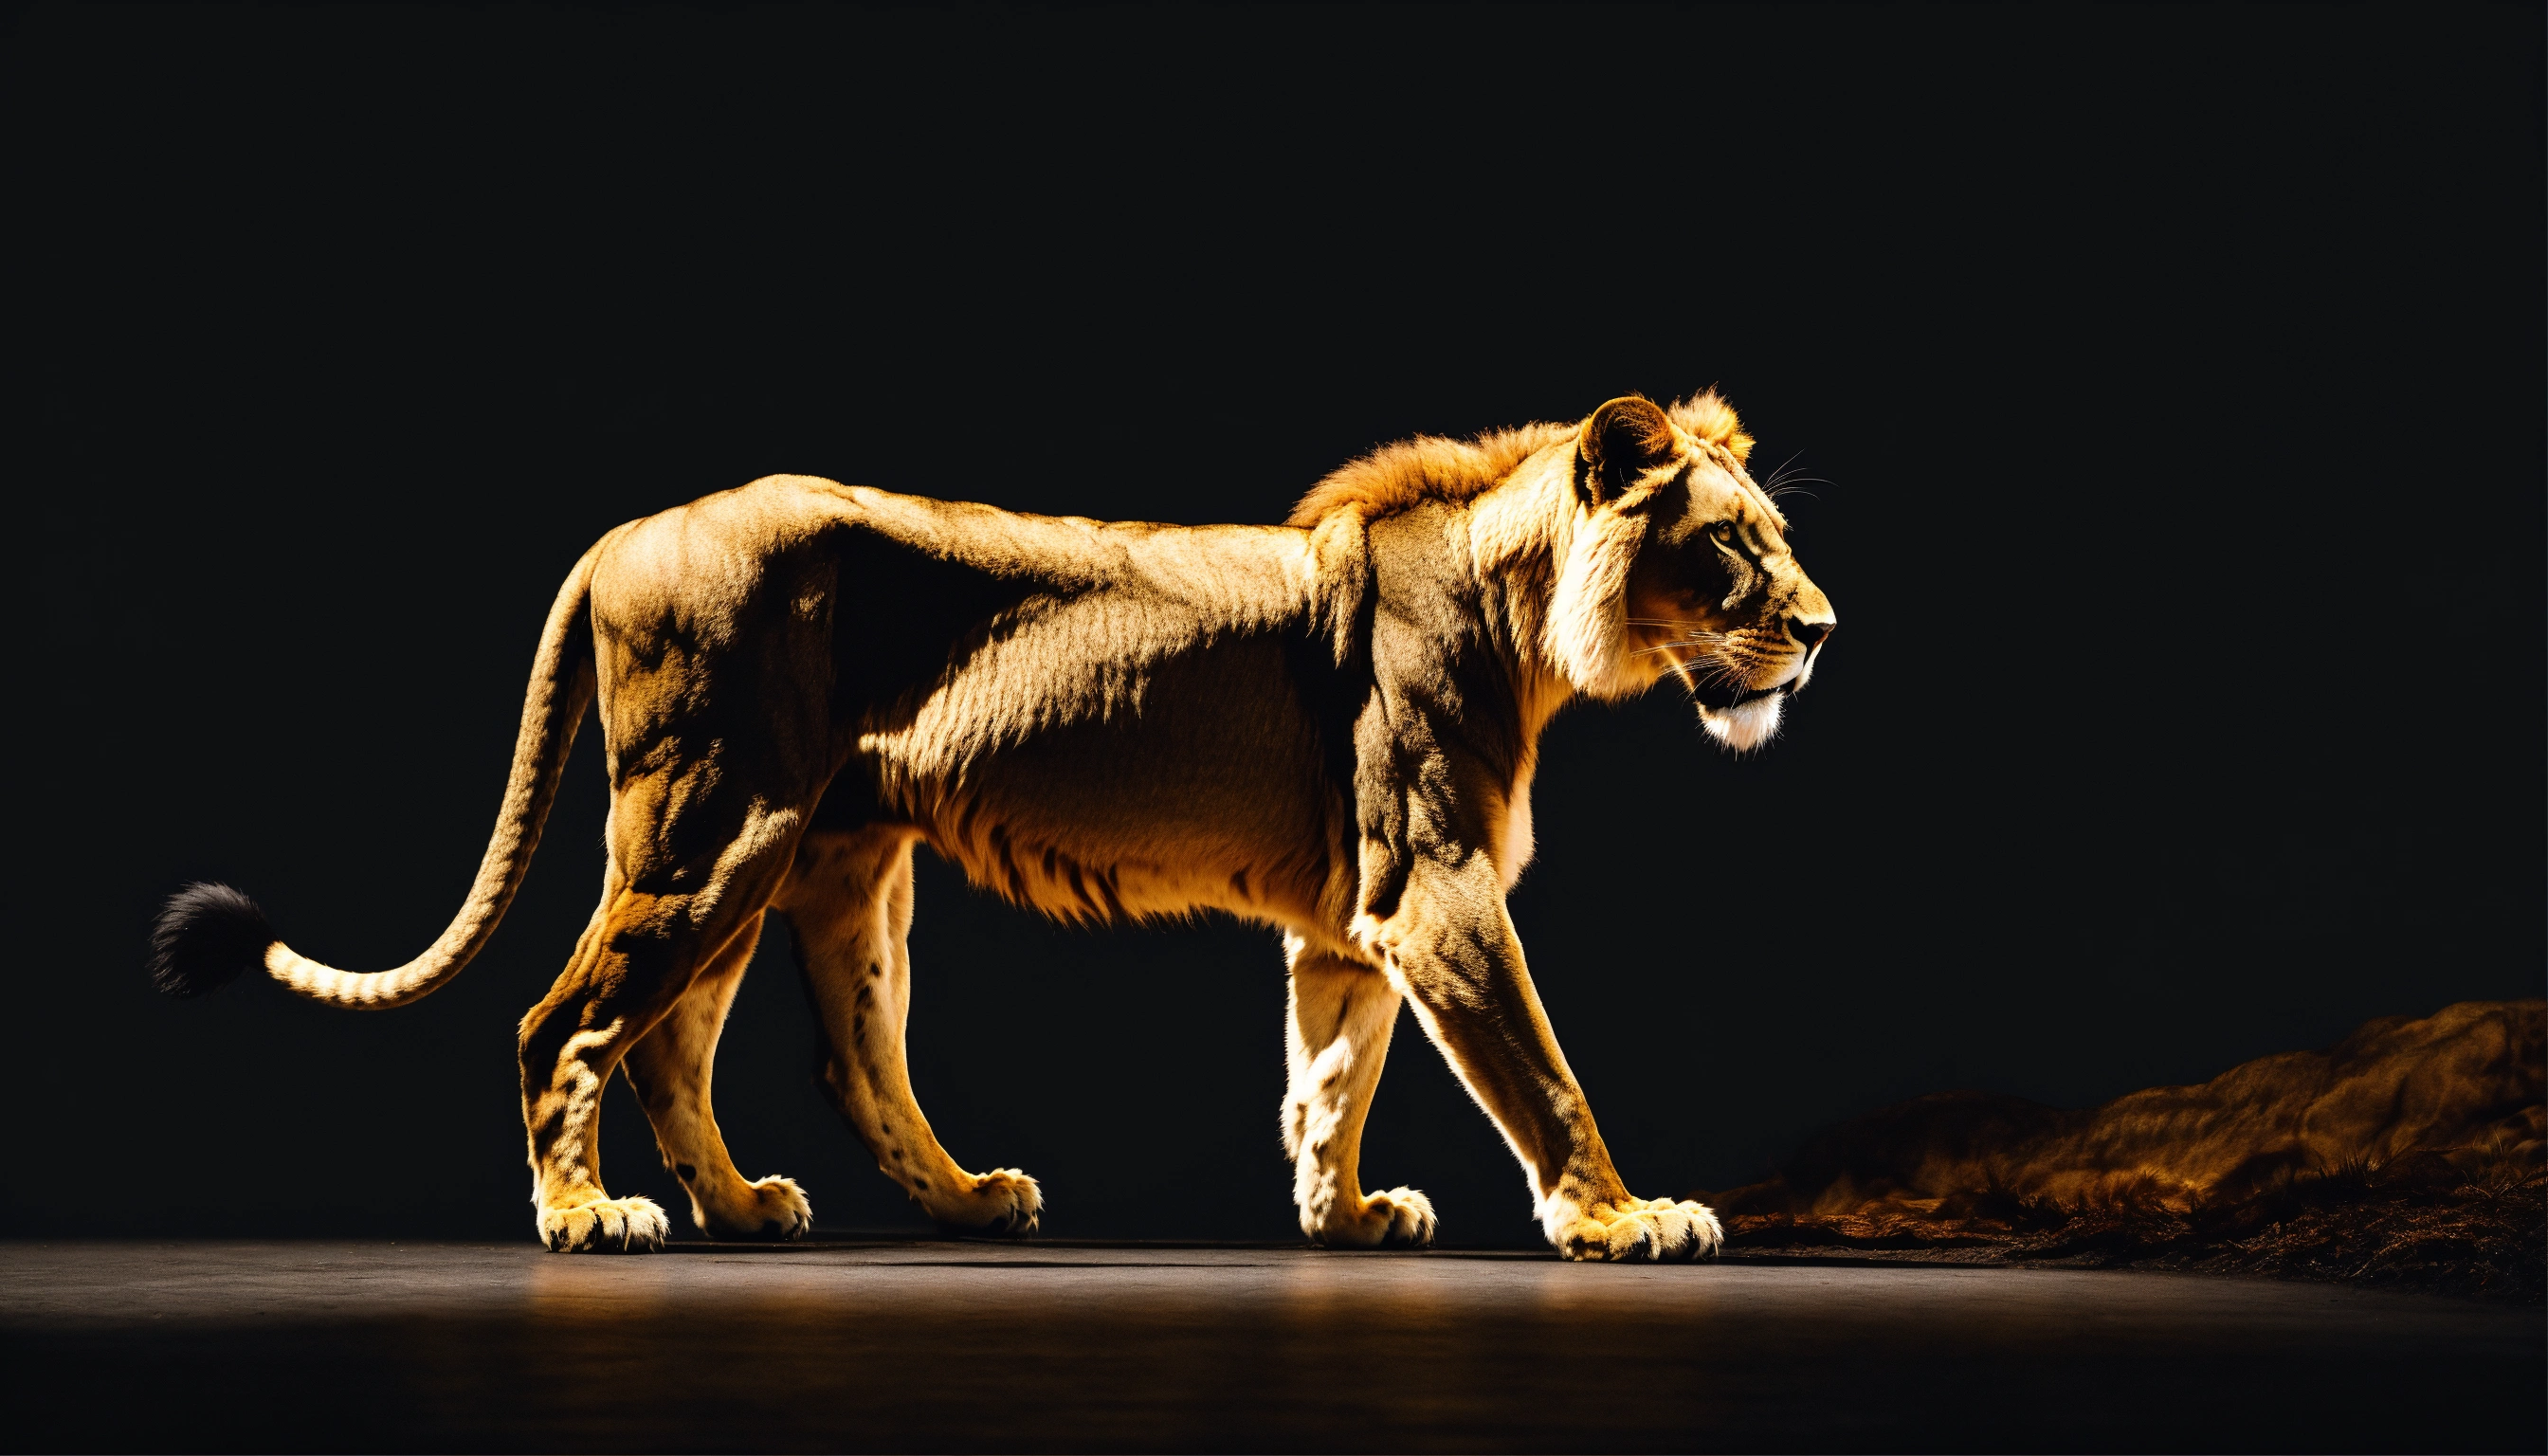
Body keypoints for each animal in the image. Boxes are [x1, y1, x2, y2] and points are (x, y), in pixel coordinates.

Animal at [150, 392, 1836, 1260]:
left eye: (1778, 538)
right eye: (1730, 548)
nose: (1823, 630)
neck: (1527, 614)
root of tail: (624, 533)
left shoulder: (1351, 918)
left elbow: (1328, 1082)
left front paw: (1344, 1215)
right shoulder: (1434, 887)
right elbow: (1538, 1073)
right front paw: (1623, 1219)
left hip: (812, 856)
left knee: (748, 1050)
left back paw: (815, 1204)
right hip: (710, 826)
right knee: (568, 1023)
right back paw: (588, 1216)